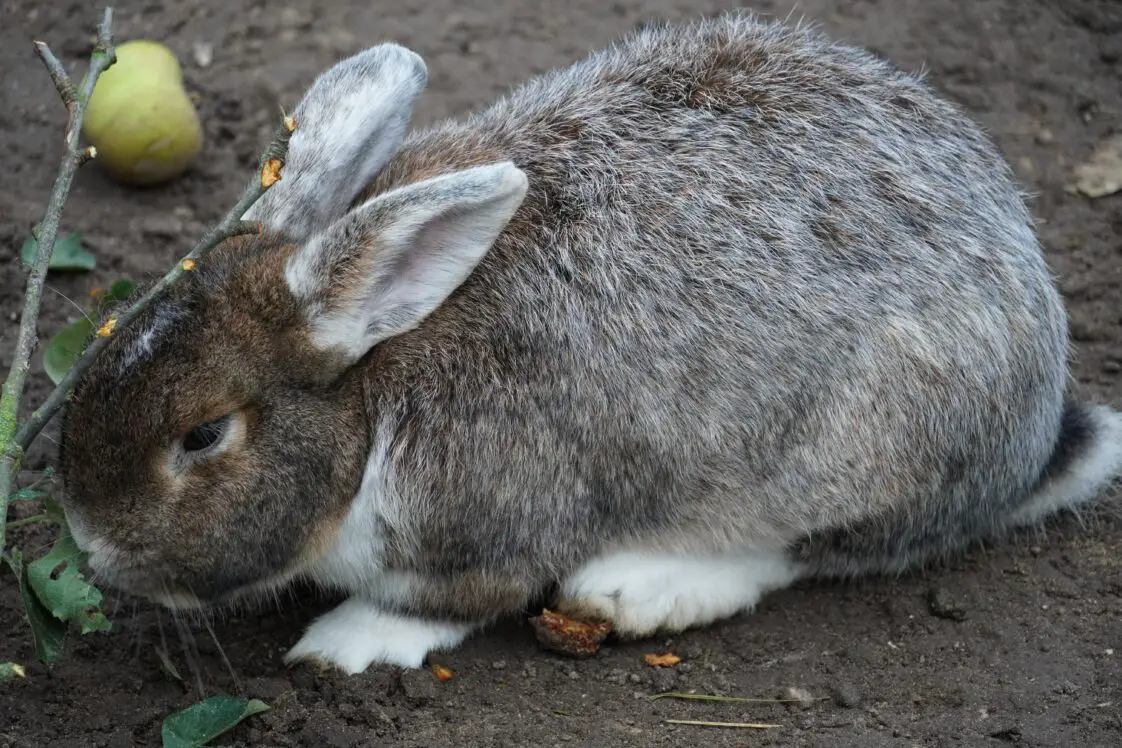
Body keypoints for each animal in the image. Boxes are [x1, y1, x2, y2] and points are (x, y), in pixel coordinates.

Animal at [58, 11, 1122, 675]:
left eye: (204, 436)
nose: (91, 547)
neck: (371, 392)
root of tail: (1036, 435)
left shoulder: (488, 531)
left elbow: (439, 604)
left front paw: (343, 644)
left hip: (867, 443)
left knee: (810, 552)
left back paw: (640, 589)